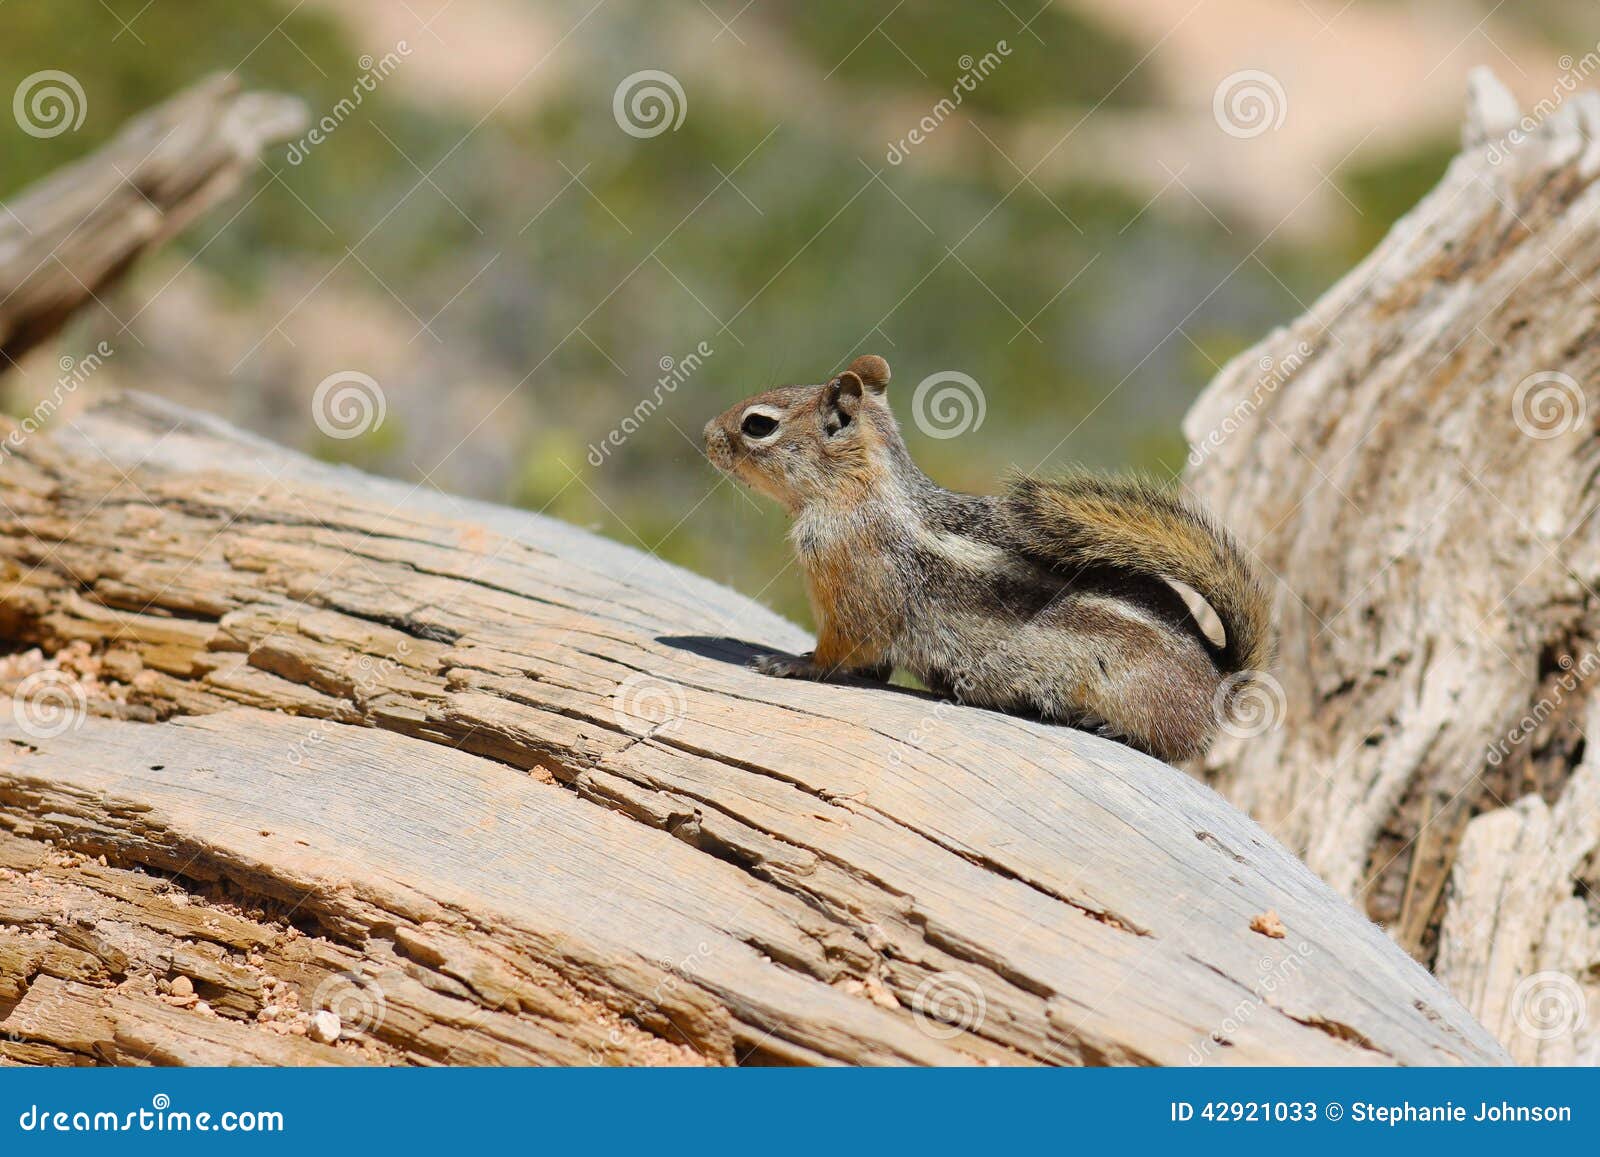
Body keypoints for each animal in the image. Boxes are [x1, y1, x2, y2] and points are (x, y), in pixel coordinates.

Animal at [701, 354, 1273, 762]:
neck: (858, 494)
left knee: (1173, 745)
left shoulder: (852, 594)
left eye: (758, 425)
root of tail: (1220, 676)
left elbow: (840, 651)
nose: (706, 436)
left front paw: (790, 662)